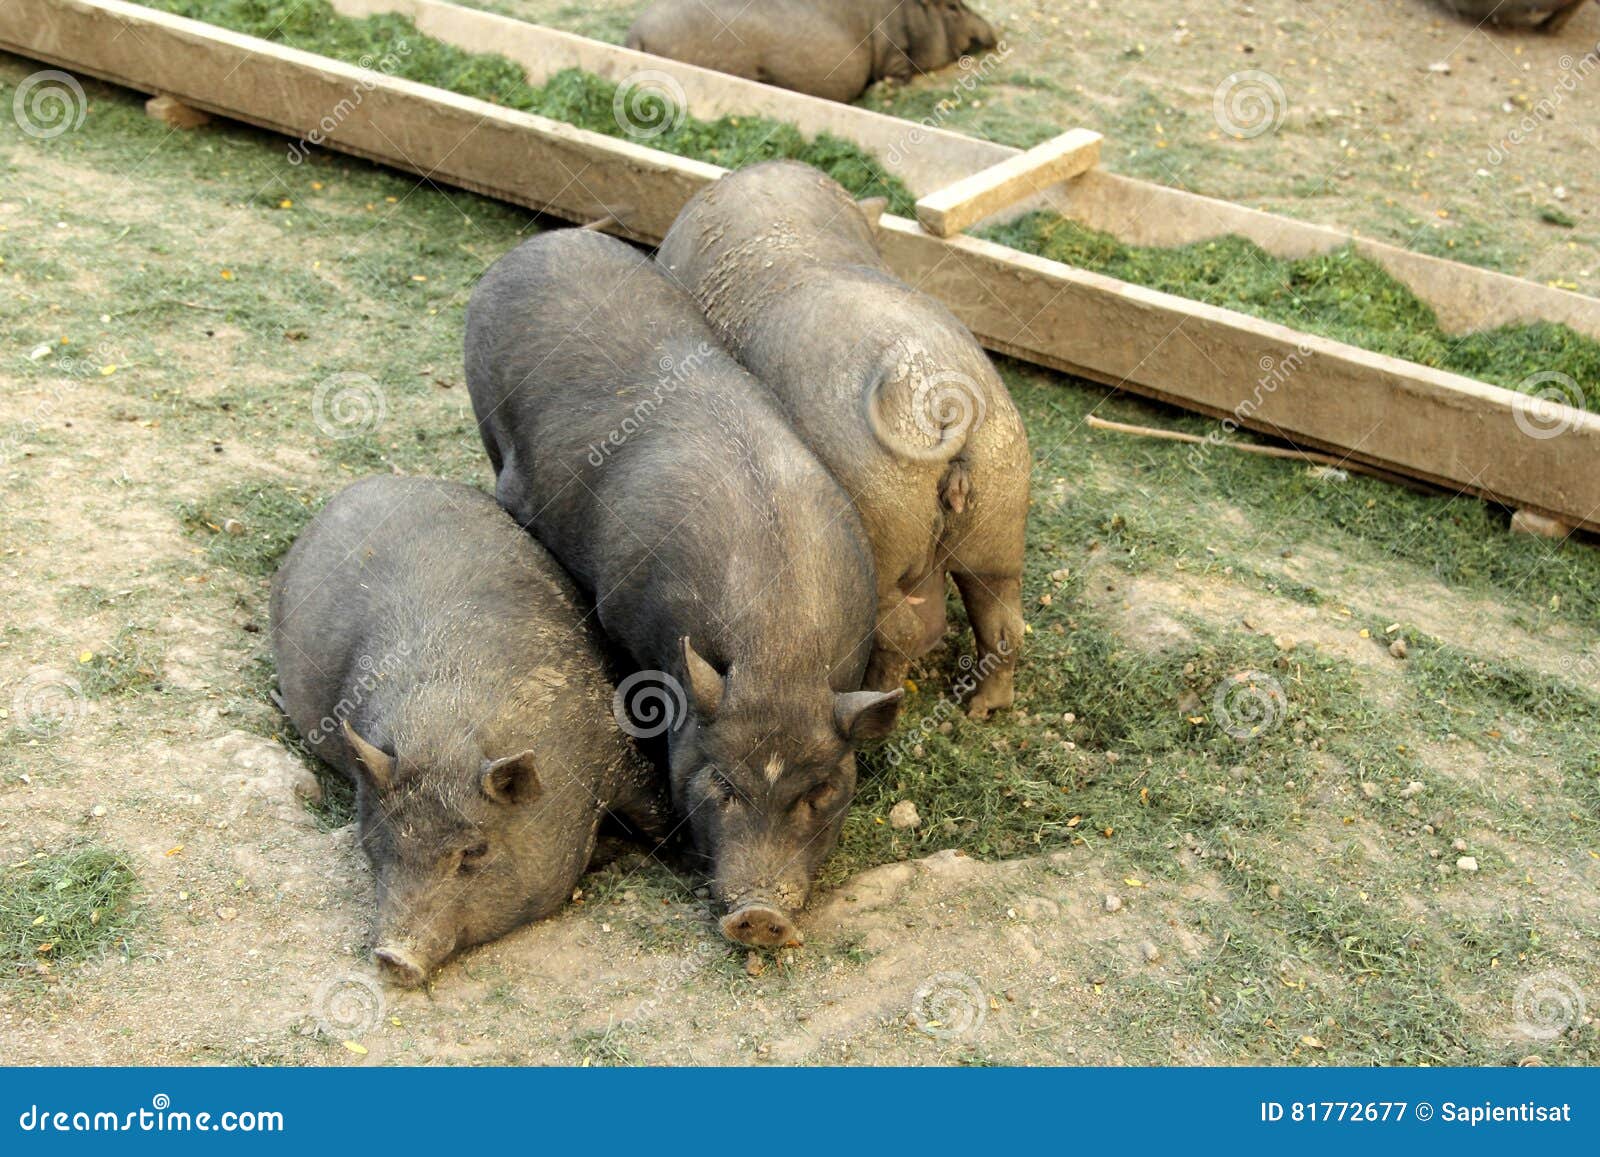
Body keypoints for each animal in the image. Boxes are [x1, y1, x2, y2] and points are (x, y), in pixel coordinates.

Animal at [465, 229, 903, 947]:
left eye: (819, 792)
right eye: (721, 784)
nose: (762, 913)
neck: (779, 651)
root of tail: (547, 239)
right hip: (484, 412)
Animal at [625, 0, 998, 103]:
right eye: (953, 7)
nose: (992, 33)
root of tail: (636, 34)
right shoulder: (892, 50)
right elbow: (897, 71)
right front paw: (884, 89)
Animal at [656, 160, 1029, 720]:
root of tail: (946, 404)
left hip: (880, 523)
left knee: (902, 630)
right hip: (1000, 500)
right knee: (1003, 619)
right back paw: (983, 708)